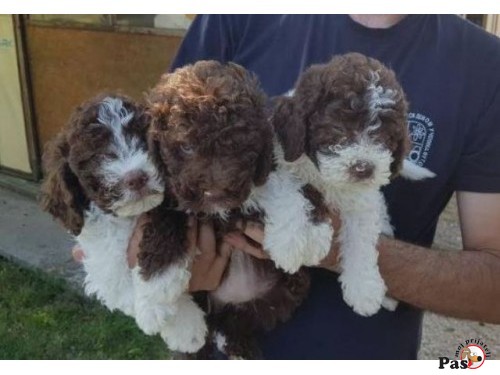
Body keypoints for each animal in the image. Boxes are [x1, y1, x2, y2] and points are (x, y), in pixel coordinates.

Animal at [146, 61, 334, 358]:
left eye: (237, 144)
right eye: (186, 147)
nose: (214, 192)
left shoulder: (270, 167)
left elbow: (295, 187)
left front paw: (308, 237)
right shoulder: (167, 191)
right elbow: (163, 223)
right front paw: (157, 290)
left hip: (284, 293)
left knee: (234, 320)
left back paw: (238, 346)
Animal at [274, 53, 434, 318]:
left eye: (385, 136)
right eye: (338, 128)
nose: (364, 167)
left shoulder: (364, 201)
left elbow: (362, 237)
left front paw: (364, 288)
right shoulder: (279, 164)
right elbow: (292, 193)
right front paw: (288, 244)